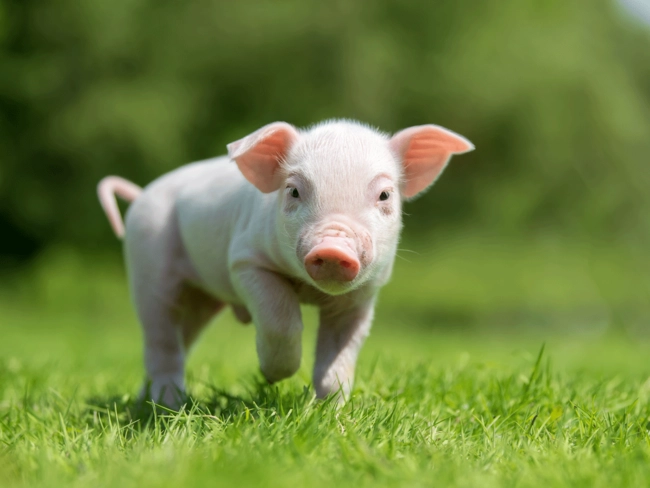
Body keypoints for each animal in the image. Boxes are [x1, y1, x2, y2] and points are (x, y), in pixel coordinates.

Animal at [97, 120, 473, 408]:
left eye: (384, 195)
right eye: (293, 191)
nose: (334, 247)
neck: (310, 291)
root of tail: (141, 194)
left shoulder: (364, 294)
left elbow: (339, 355)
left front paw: (333, 411)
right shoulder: (246, 261)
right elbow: (282, 319)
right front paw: (272, 377)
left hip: (200, 300)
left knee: (181, 339)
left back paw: (148, 400)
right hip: (148, 267)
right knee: (159, 339)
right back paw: (168, 405)